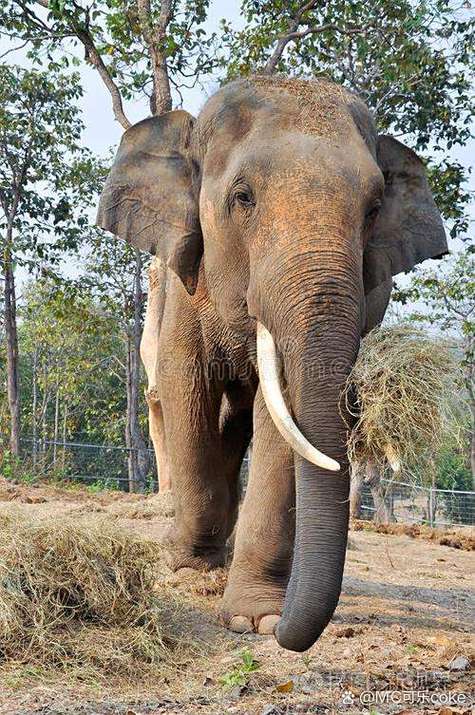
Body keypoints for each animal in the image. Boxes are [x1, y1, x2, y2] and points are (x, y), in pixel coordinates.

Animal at [97, 76, 447, 652]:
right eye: (243, 197)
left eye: (374, 208)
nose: (285, 632)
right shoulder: (184, 281)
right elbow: (184, 381)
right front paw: (189, 567)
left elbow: (281, 417)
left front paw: (253, 620)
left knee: (239, 422)